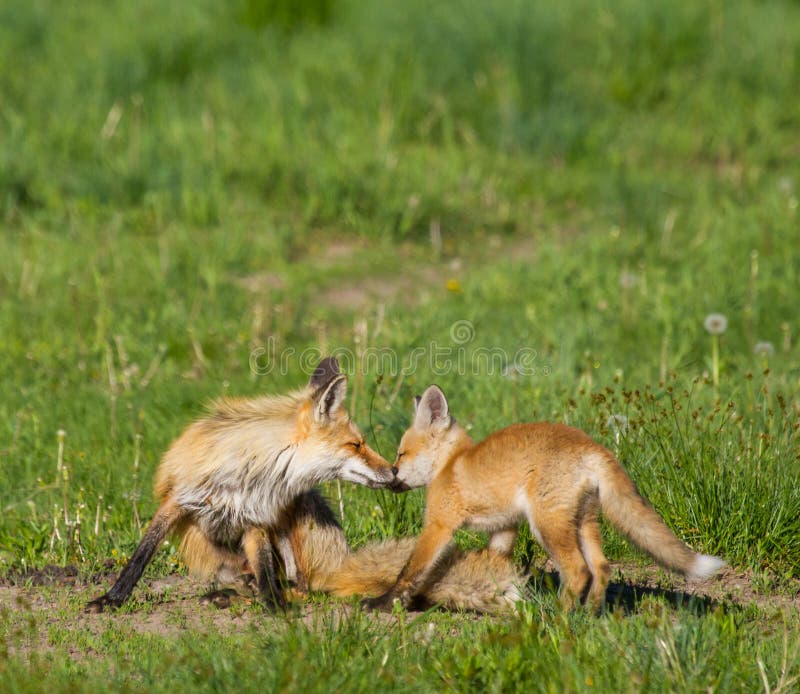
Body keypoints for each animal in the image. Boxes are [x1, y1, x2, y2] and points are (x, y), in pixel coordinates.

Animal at [86, 357, 397, 613]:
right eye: (356, 445)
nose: (393, 471)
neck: (250, 472)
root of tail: (340, 559)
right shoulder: (177, 498)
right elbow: (140, 555)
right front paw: (112, 599)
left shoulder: (254, 517)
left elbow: (266, 572)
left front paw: (275, 606)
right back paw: (229, 593)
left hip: (294, 513)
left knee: (301, 587)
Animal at [363, 384, 726, 613]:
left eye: (401, 454)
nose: (390, 475)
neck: (450, 464)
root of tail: (591, 446)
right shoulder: (504, 528)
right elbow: (492, 565)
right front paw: (489, 591)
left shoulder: (439, 524)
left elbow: (409, 571)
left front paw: (383, 603)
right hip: (583, 522)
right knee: (601, 567)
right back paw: (590, 615)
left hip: (547, 525)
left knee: (578, 571)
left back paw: (558, 618)